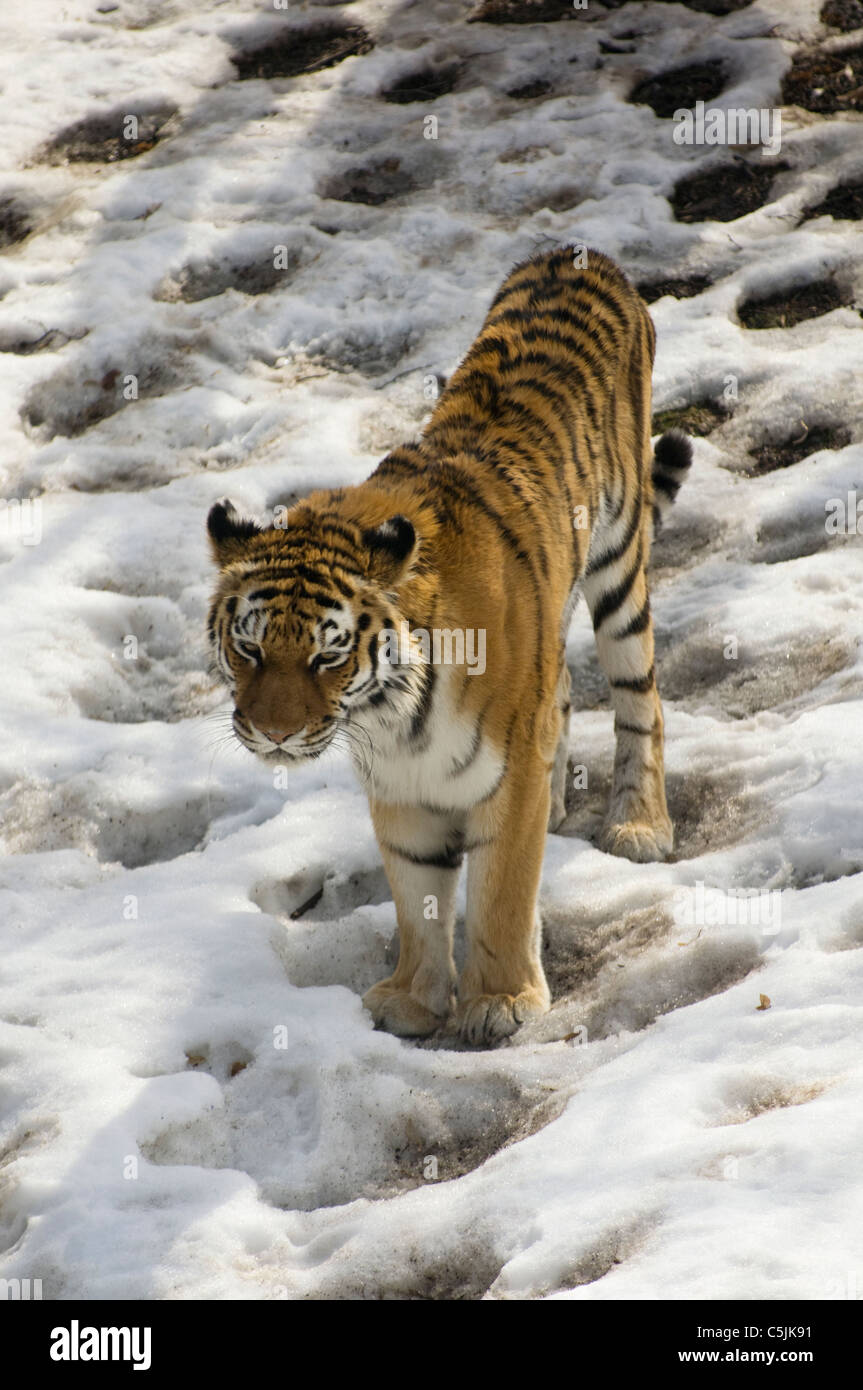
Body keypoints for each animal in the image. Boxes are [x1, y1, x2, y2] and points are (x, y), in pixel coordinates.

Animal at [206, 245, 692, 1046]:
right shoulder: (399, 788)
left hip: (620, 561)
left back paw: (638, 824)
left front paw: (499, 1001)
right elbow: (418, 894)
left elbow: (499, 892)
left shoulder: (508, 775)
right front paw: (413, 997)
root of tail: (577, 252)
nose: (273, 734)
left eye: (326, 655)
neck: (388, 716)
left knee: (640, 698)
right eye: (248, 650)